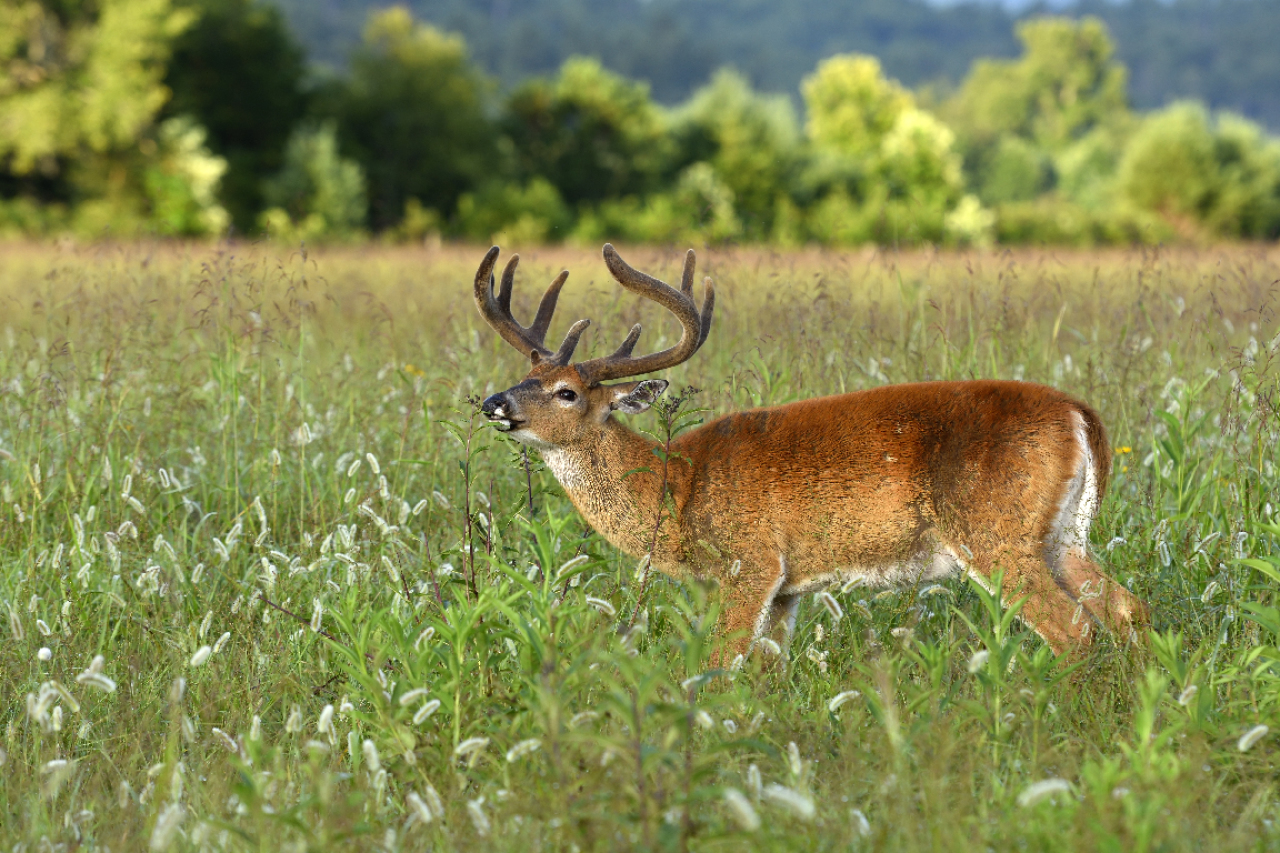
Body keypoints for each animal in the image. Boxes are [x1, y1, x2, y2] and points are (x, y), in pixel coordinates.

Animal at [473, 244, 1150, 663]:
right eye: (525, 375)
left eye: (567, 392)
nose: (493, 402)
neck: (677, 489)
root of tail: (1080, 414)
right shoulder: (788, 588)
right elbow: (768, 674)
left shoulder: (750, 563)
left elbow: (716, 669)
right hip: (1062, 534)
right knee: (1126, 607)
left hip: (994, 531)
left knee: (1074, 629)